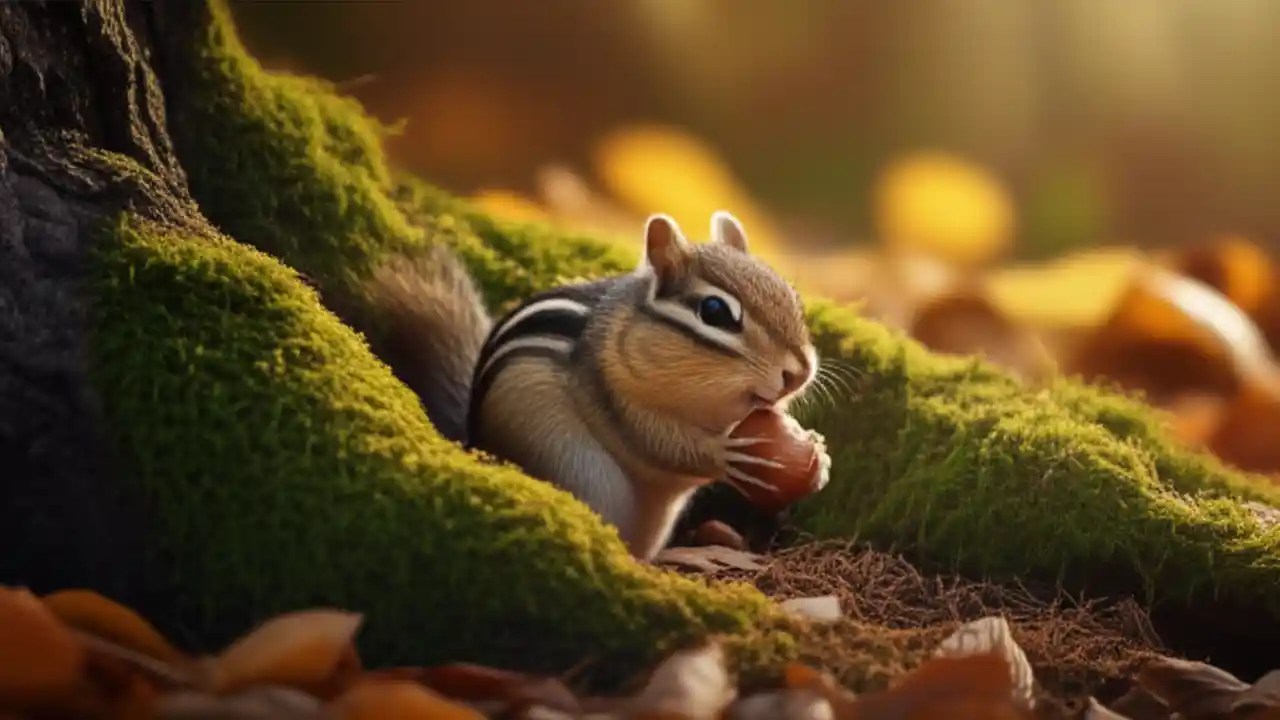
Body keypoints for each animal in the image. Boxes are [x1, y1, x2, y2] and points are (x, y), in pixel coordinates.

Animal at [367, 210, 825, 560]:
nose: (798, 372)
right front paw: (726, 452)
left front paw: (817, 453)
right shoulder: (612, 391)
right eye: (714, 311)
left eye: (792, 295)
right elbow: (657, 441)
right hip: (580, 473)